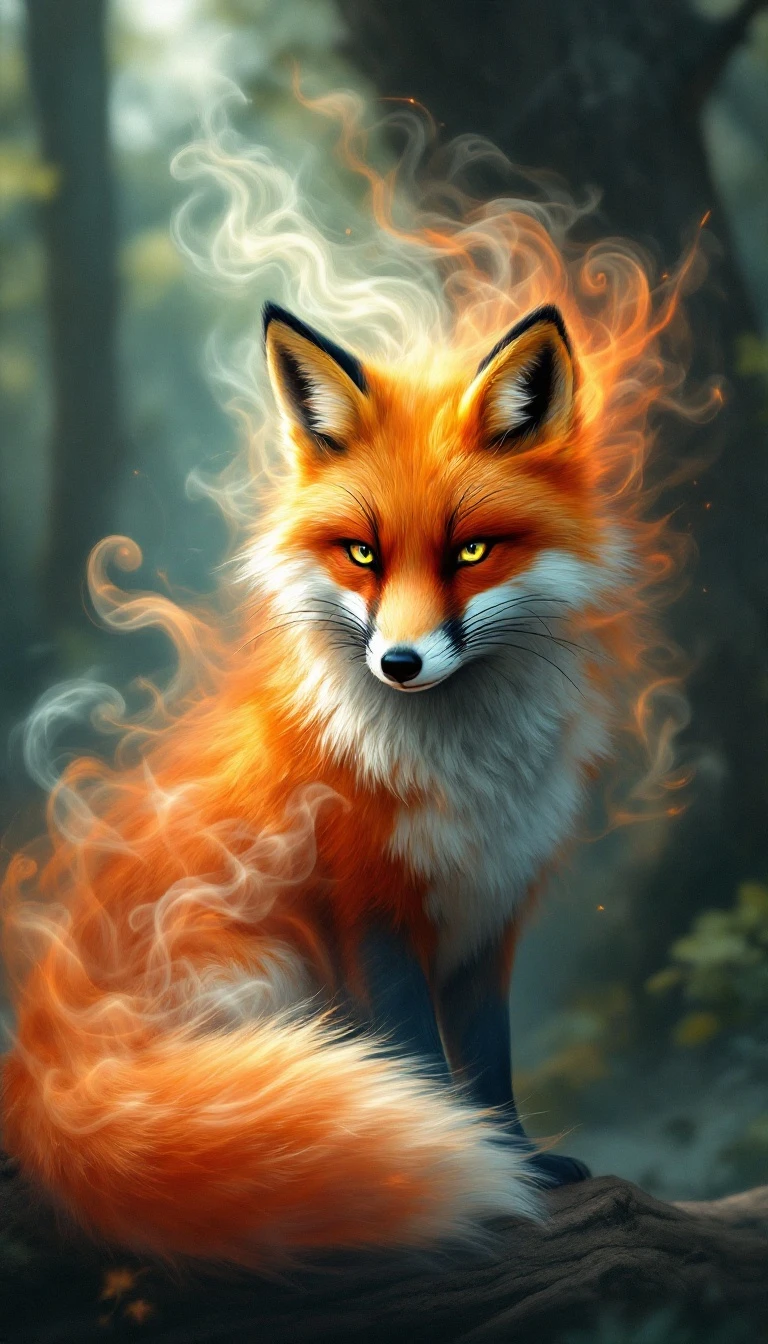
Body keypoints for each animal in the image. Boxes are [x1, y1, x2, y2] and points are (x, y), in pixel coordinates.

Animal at [2, 298, 633, 1268]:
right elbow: (417, 1061)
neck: (464, 776)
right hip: (259, 970)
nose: (400, 663)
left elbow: (488, 1061)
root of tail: (39, 1070)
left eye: (472, 551)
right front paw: (452, 1158)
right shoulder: (364, 906)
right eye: (363, 554)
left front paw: (516, 1157)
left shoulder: (492, 914)